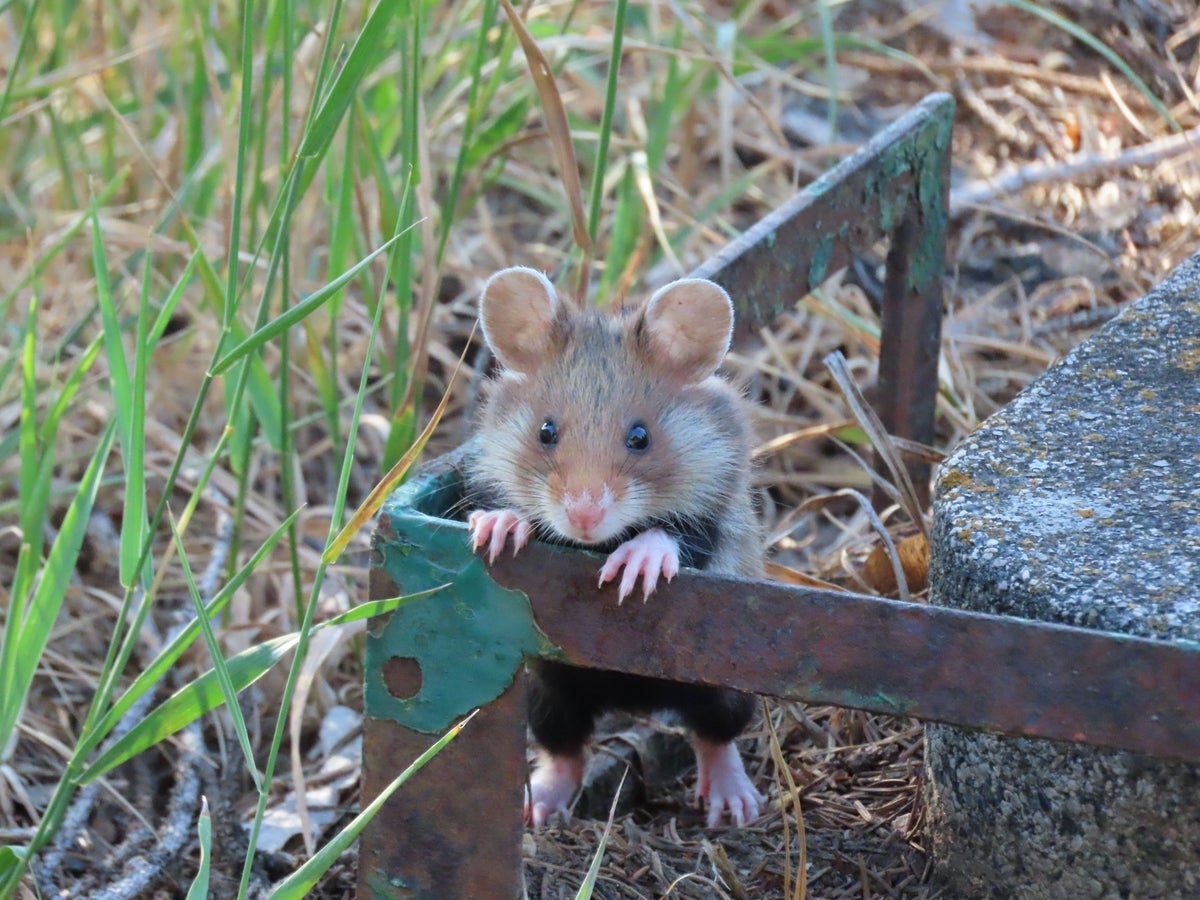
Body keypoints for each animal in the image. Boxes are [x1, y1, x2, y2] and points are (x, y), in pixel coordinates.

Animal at [463, 265, 764, 828]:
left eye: (640, 437)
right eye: (546, 430)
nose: (584, 518)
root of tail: (636, 705)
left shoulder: (713, 516)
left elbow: (674, 534)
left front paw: (633, 570)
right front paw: (496, 527)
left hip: (724, 689)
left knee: (715, 737)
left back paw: (734, 805)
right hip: (548, 693)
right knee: (564, 750)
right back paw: (536, 810)